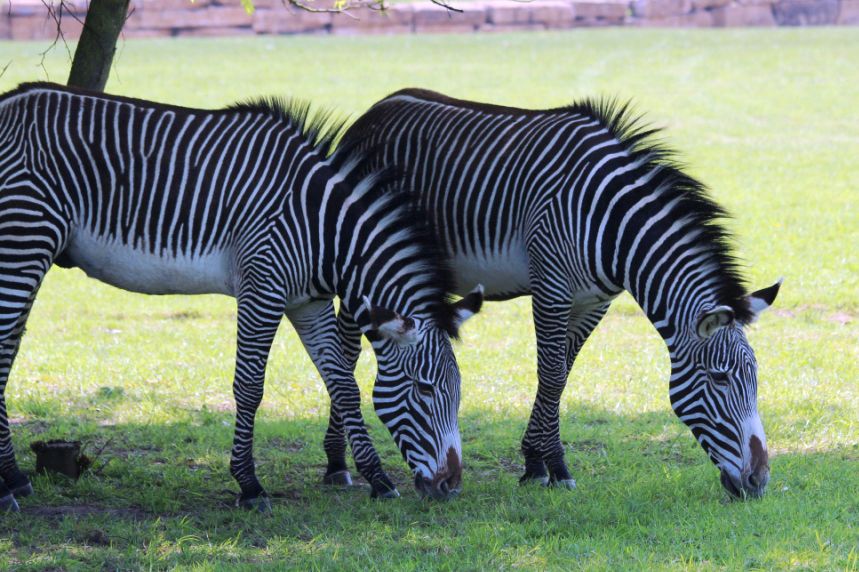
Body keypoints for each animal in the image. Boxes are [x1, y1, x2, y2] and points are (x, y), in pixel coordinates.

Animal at [0, 83, 481, 513]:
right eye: (424, 389)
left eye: (458, 390)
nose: (452, 486)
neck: (322, 228)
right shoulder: (261, 287)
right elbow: (250, 386)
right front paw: (249, 485)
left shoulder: (308, 302)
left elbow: (343, 384)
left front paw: (377, 479)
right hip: (25, 241)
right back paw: (9, 486)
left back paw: (15, 478)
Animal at [324, 89, 781, 499]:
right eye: (720, 378)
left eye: (756, 377)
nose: (759, 482)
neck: (611, 224)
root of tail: (373, 111)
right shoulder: (550, 289)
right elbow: (552, 374)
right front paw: (556, 466)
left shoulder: (594, 302)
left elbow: (563, 373)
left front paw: (535, 461)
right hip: (356, 270)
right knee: (343, 355)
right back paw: (338, 463)